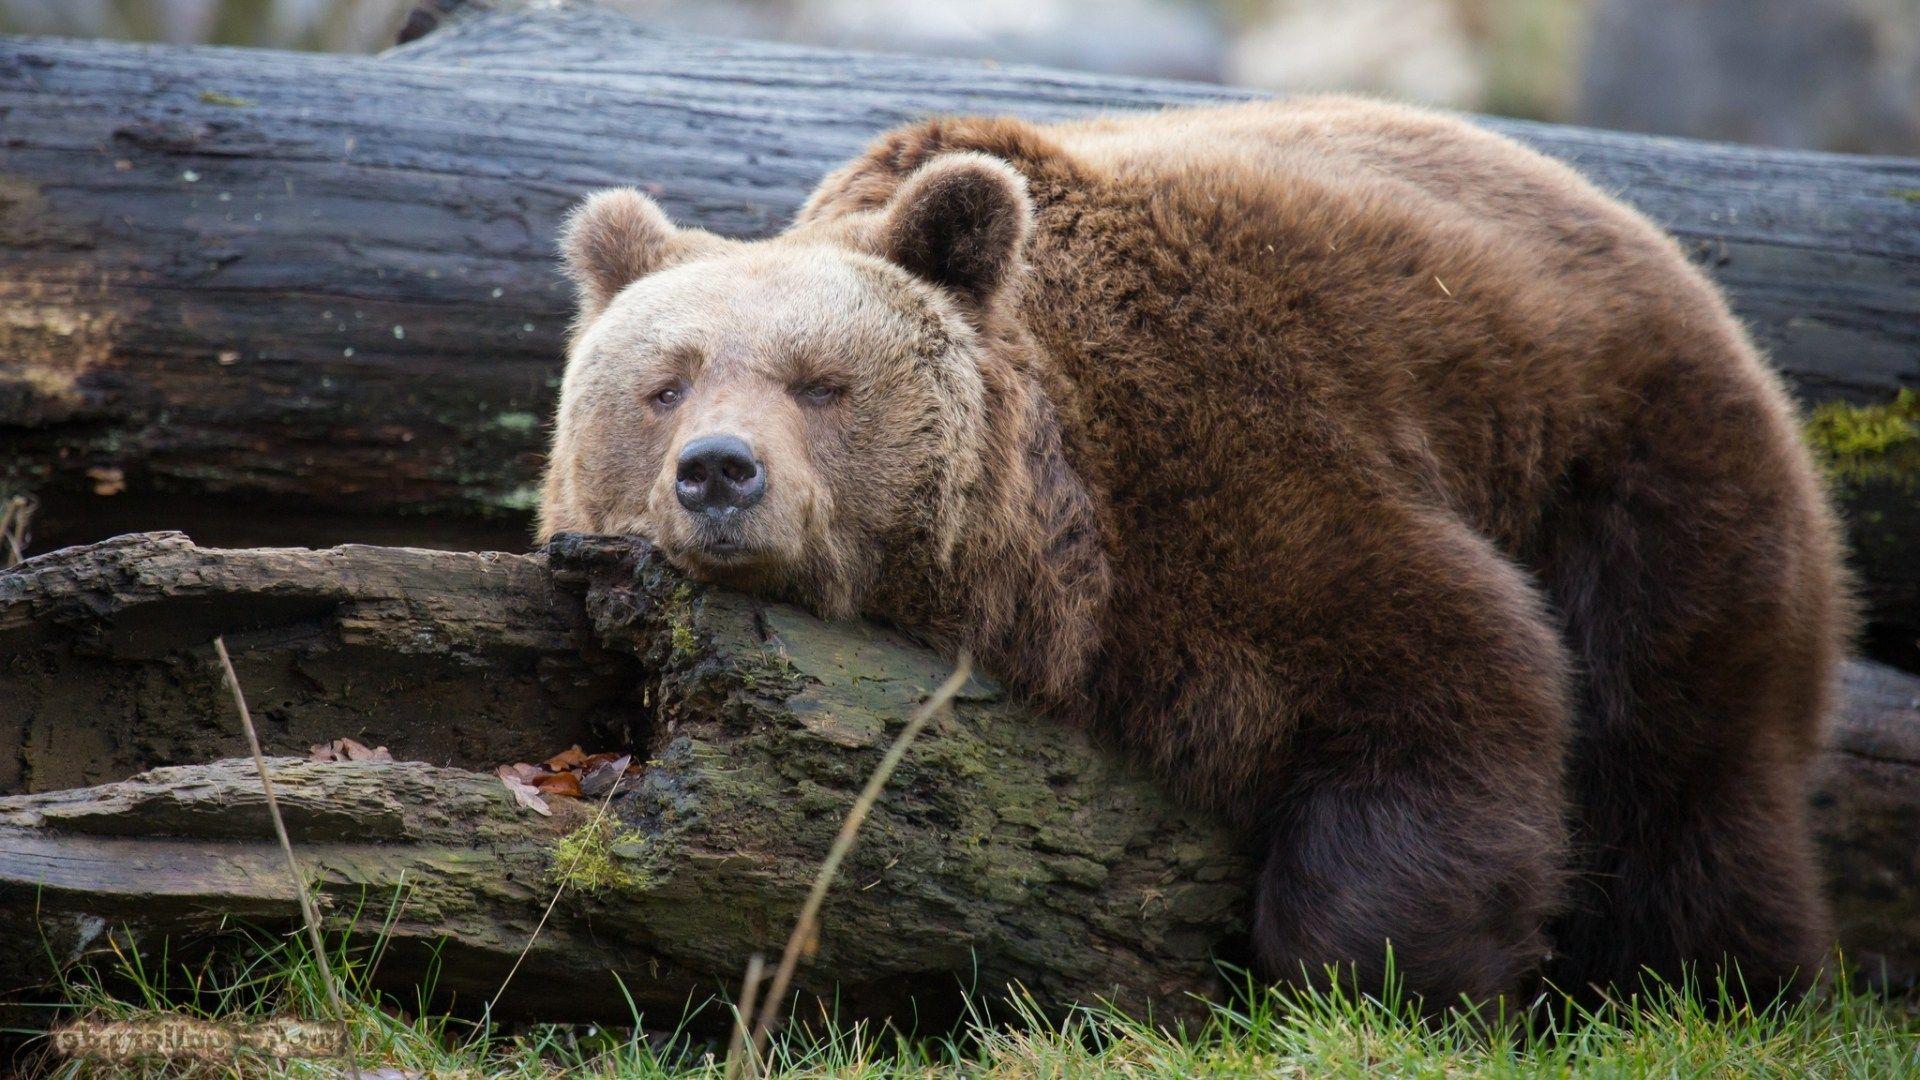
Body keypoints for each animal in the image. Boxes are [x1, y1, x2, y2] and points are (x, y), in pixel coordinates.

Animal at [538, 97, 1851, 1010]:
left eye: (821, 382)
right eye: (664, 385)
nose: (719, 471)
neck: (1047, 541)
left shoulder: (1232, 465)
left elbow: (1448, 671)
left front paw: (1382, 976)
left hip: (1633, 471)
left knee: (1682, 763)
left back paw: (1722, 985)